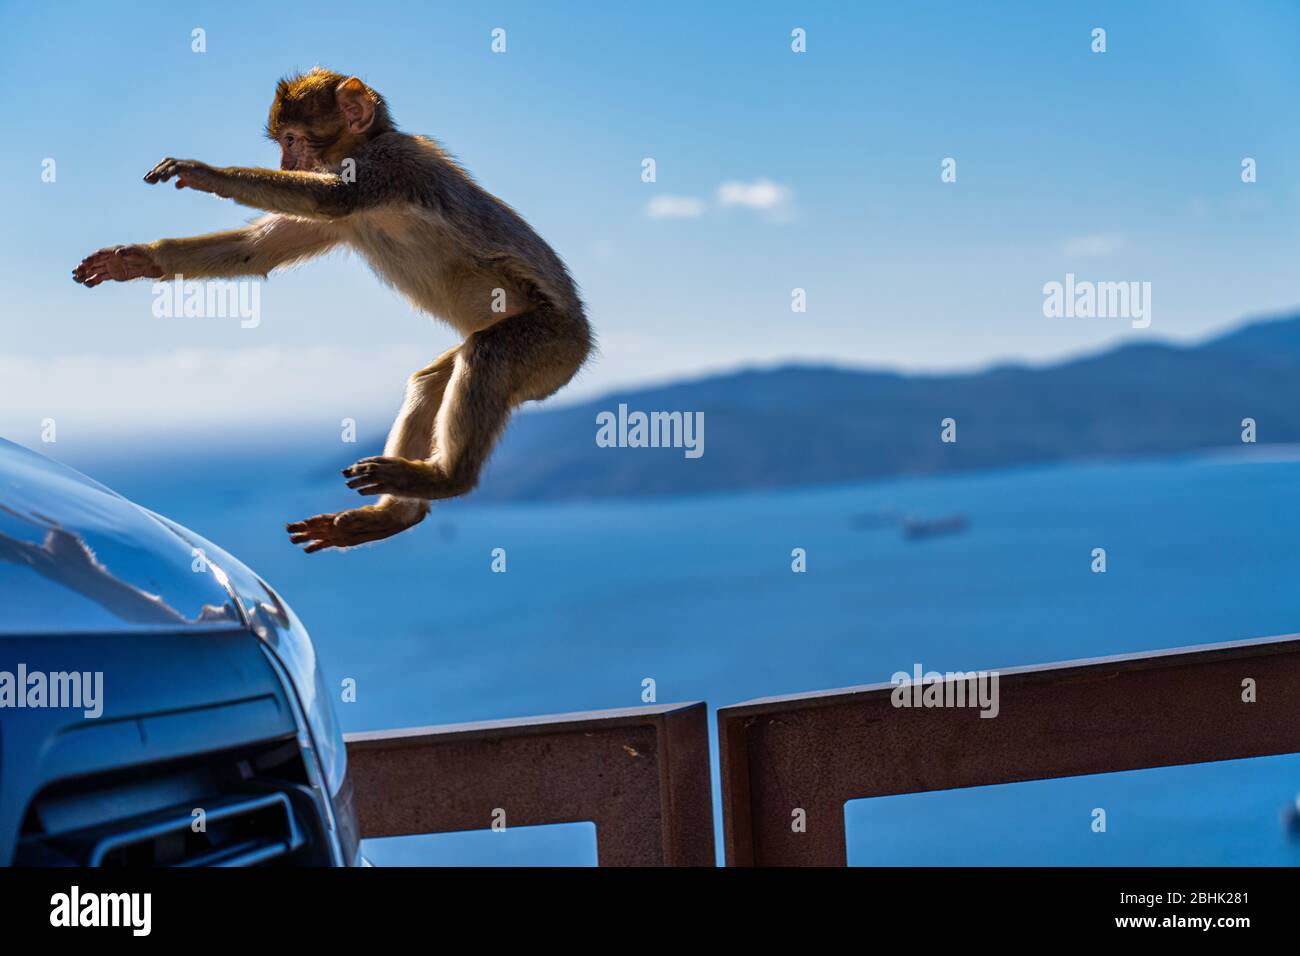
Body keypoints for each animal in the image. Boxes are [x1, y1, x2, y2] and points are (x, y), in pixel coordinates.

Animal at [72, 69, 593, 553]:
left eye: (291, 140)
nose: (284, 163)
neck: (369, 141)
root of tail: (582, 342)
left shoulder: (387, 165)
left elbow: (332, 197)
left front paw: (207, 173)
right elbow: (254, 252)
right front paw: (135, 260)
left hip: (550, 342)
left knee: (488, 354)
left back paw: (447, 478)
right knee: (433, 380)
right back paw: (394, 515)